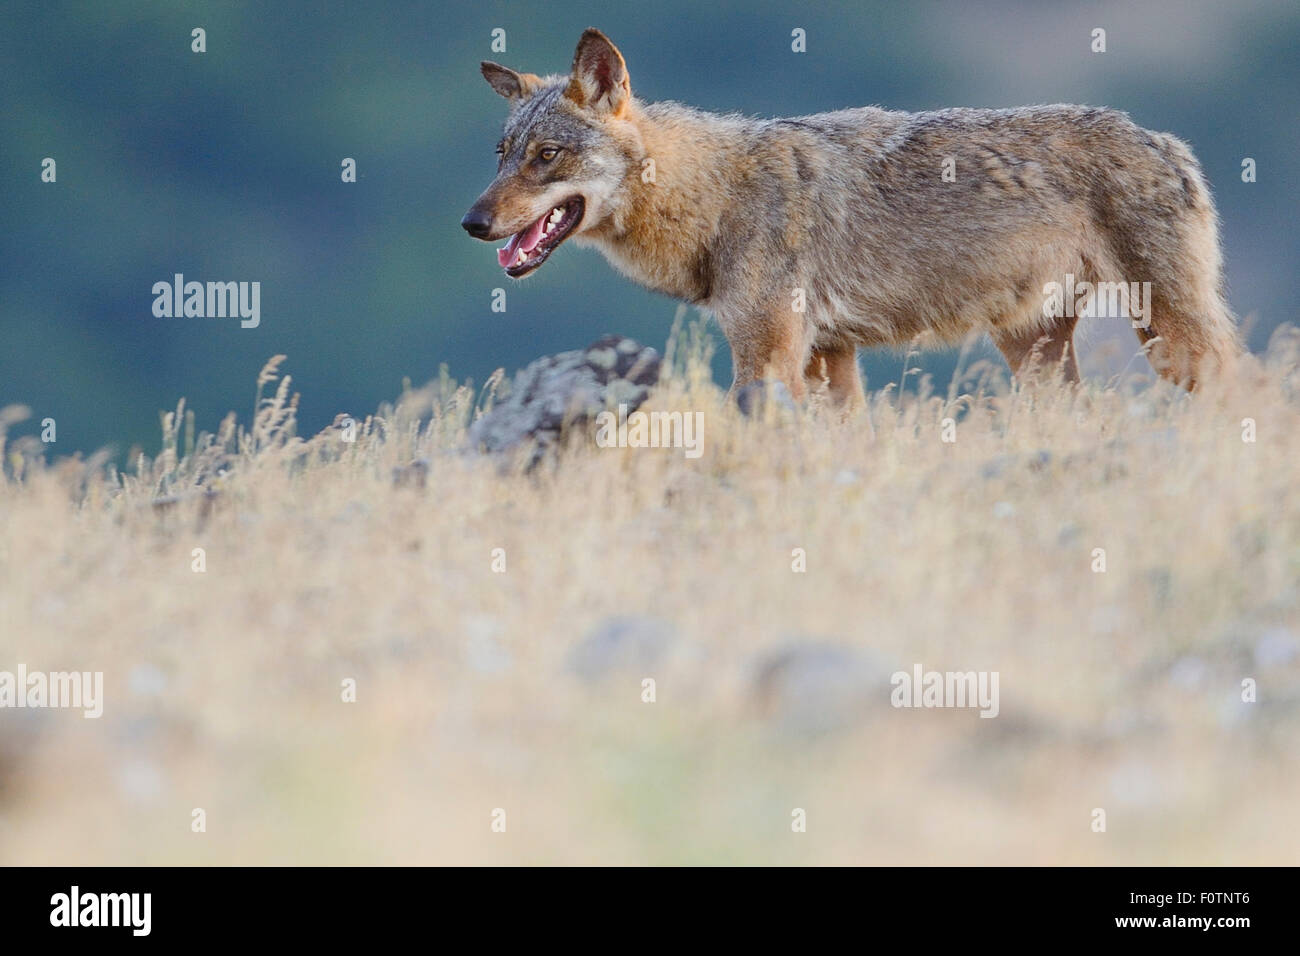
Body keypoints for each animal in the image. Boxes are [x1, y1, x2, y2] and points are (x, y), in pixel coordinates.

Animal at [462, 28, 1239, 407]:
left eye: (547, 156)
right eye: (501, 155)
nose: (472, 223)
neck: (713, 199)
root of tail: (1165, 140)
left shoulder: (767, 359)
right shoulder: (828, 360)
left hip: (1168, 343)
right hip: (1040, 355)